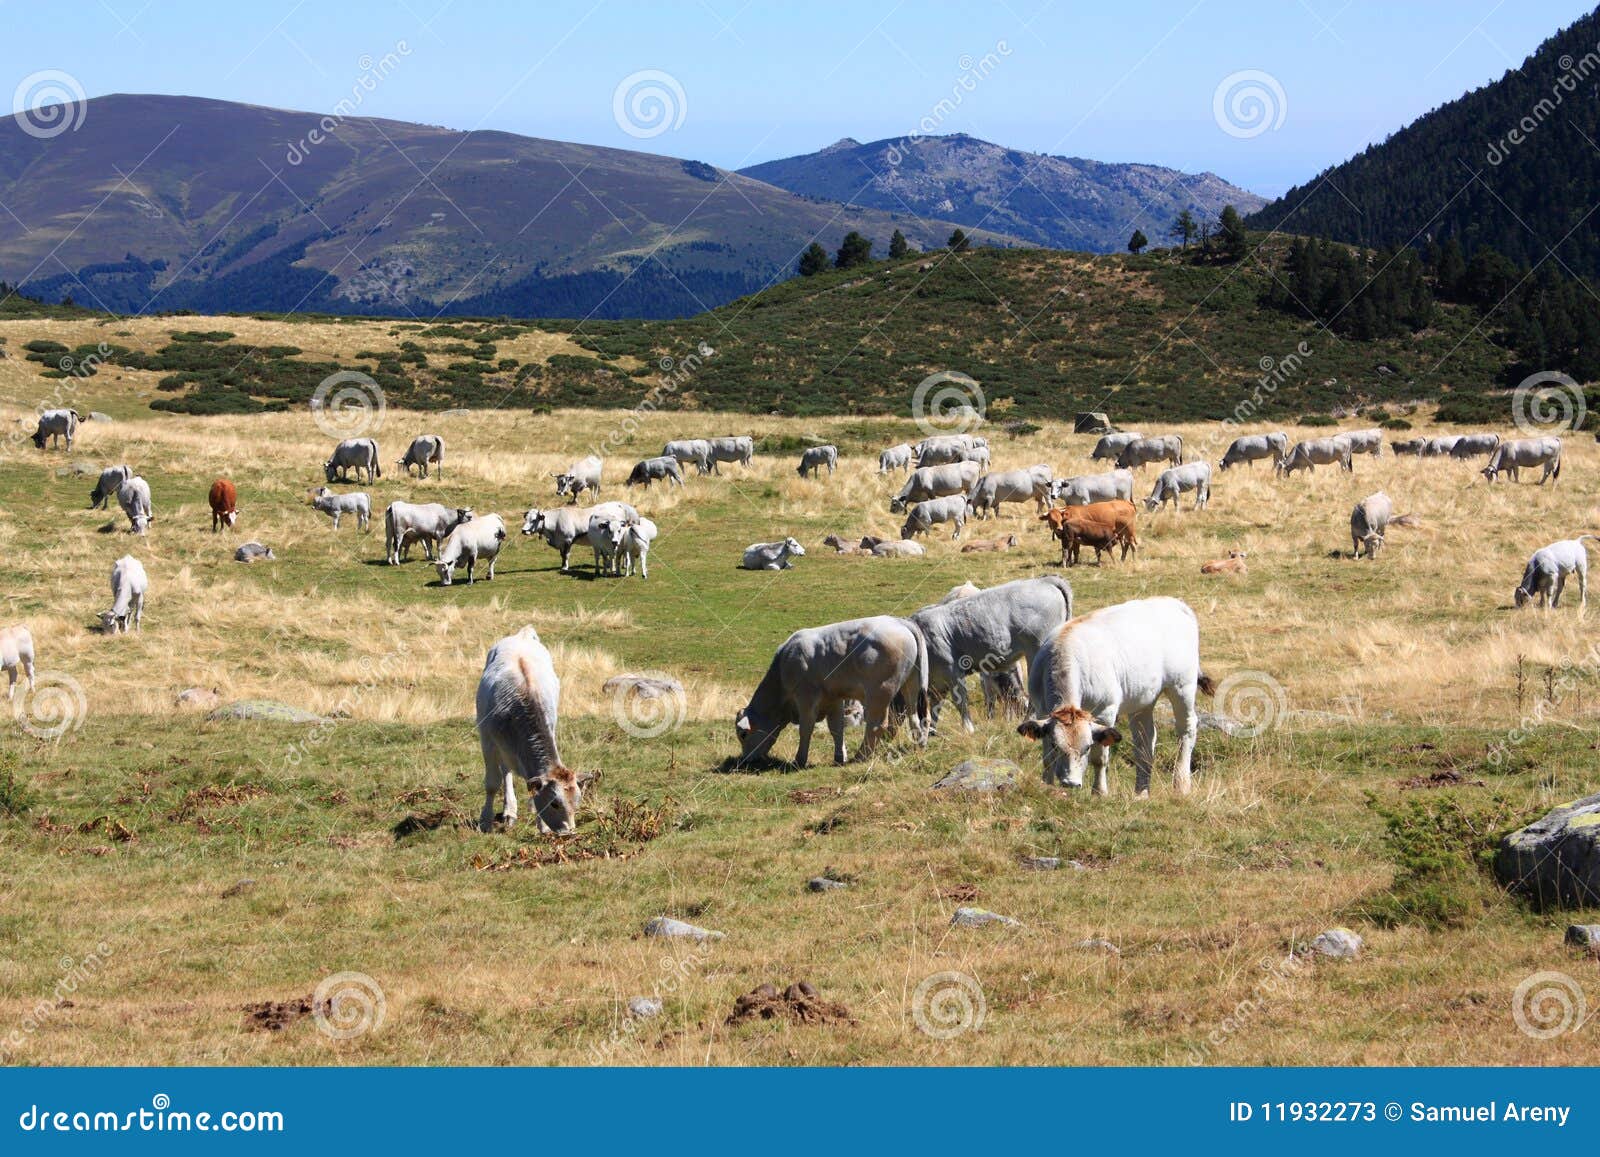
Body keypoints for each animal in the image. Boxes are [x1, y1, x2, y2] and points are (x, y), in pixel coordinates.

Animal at [474, 626, 585, 833]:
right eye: (554, 803)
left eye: (577, 803)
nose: (568, 833)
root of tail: (523, 634)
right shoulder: (487, 739)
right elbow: (492, 783)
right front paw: (485, 821)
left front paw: (543, 826)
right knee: (505, 771)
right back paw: (509, 811)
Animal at [735, 615, 929, 768]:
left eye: (743, 734)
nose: (746, 760)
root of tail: (898, 621)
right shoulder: (834, 699)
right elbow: (836, 728)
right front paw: (839, 757)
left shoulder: (806, 698)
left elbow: (806, 729)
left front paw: (799, 760)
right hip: (911, 685)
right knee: (914, 717)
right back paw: (919, 745)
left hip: (879, 693)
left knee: (876, 725)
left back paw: (860, 756)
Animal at [910, 576, 1074, 732]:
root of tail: (1044, 581)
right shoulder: (938, 682)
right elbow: (935, 705)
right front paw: (932, 731)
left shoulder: (953, 671)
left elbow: (961, 701)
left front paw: (969, 729)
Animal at [1019, 597, 1215, 797]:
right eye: (1056, 746)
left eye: (1087, 746)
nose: (1070, 783)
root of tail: (1174, 602)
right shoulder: (1042, 710)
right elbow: (1047, 757)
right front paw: (1047, 785)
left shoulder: (1105, 712)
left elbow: (1100, 758)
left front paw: (1099, 792)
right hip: (1143, 698)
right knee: (1145, 739)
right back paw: (1141, 793)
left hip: (1182, 685)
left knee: (1186, 728)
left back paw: (1181, 785)